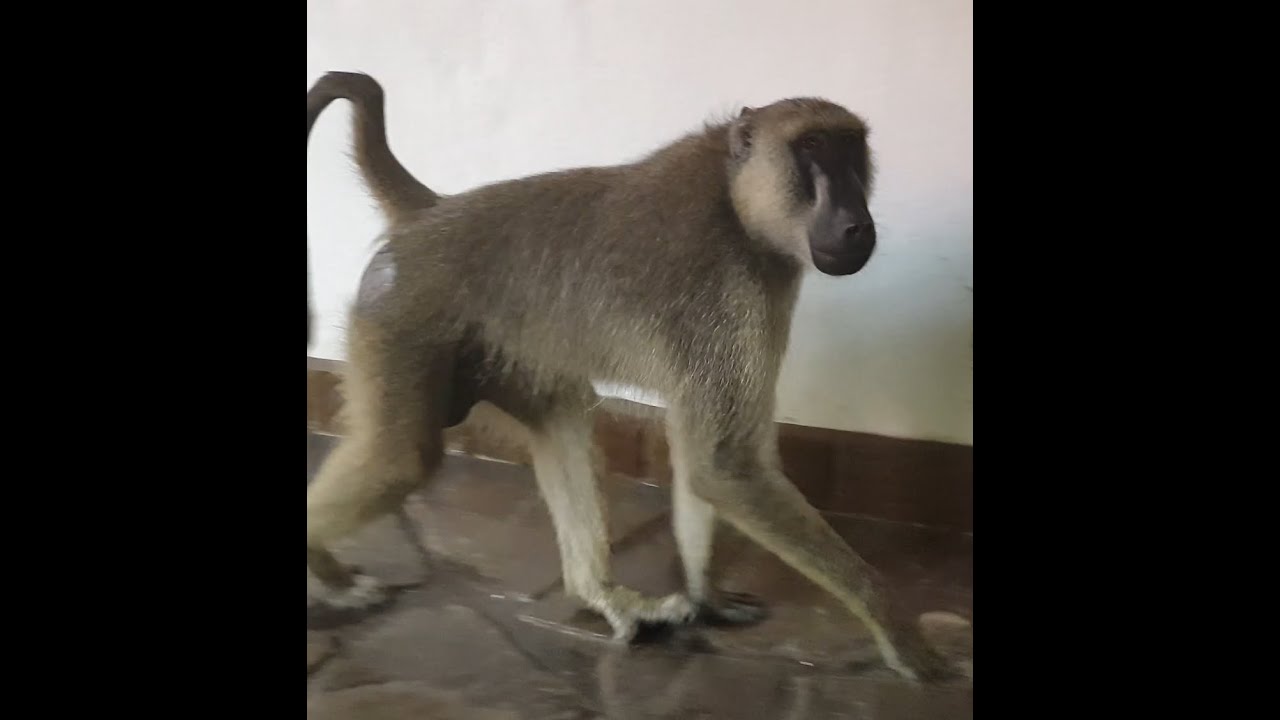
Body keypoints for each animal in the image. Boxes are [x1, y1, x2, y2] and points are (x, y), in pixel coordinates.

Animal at [305, 71, 958, 681]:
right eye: (813, 149)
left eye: (852, 151)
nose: (854, 221)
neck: (733, 200)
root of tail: (432, 216)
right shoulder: (725, 289)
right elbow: (725, 466)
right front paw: (900, 634)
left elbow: (700, 461)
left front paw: (705, 595)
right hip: (401, 315)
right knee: (401, 460)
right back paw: (331, 575)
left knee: (562, 415)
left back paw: (599, 593)